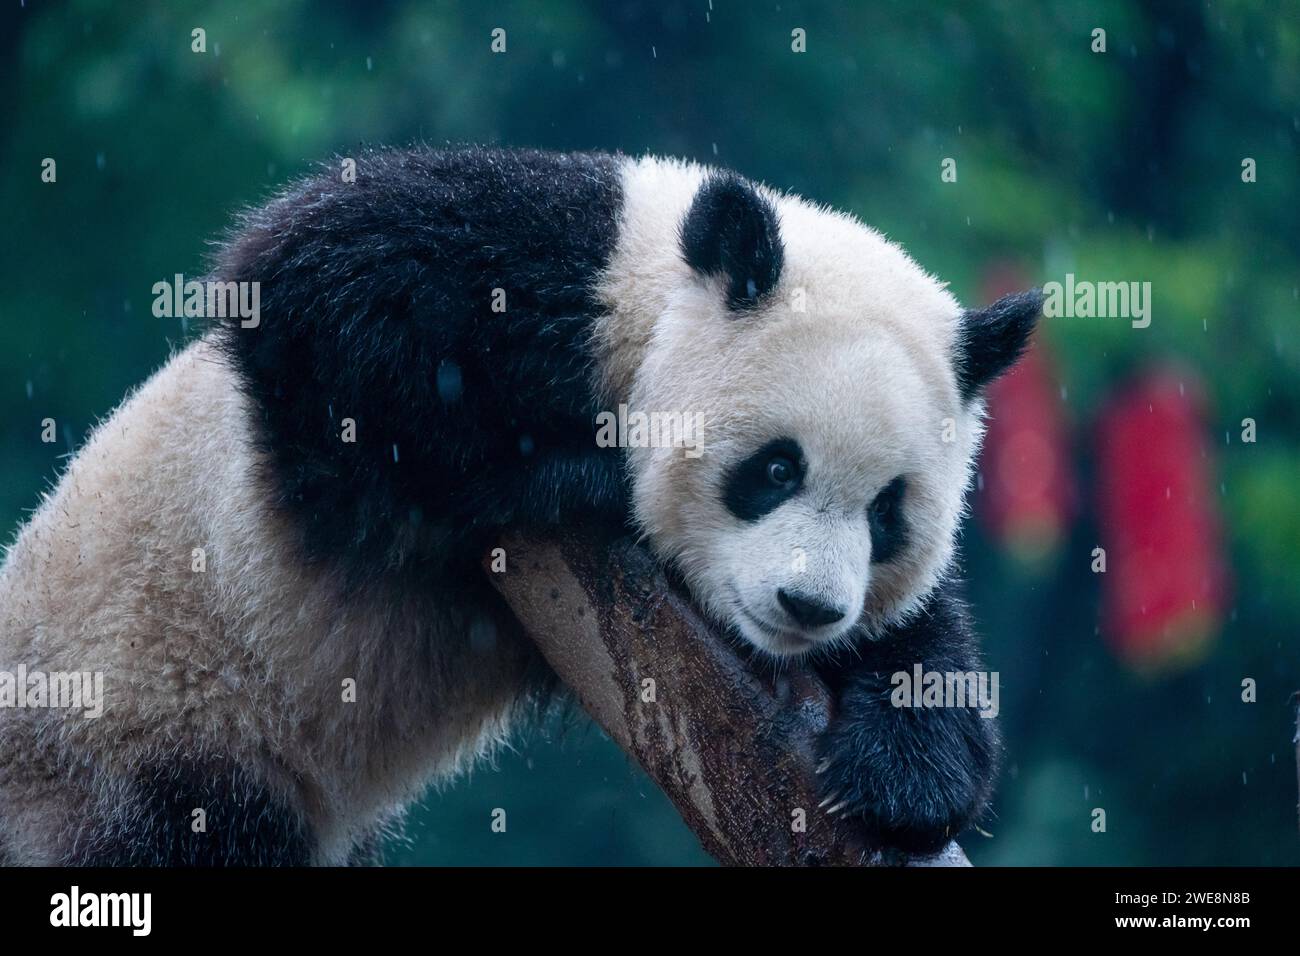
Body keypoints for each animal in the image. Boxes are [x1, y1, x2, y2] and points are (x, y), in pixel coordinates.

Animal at [0, 146, 1040, 866]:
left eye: (887, 512)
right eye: (776, 469)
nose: (808, 608)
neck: (650, 312)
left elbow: (920, 638)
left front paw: (902, 773)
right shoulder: (542, 257)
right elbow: (309, 279)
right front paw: (577, 471)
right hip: (142, 733)